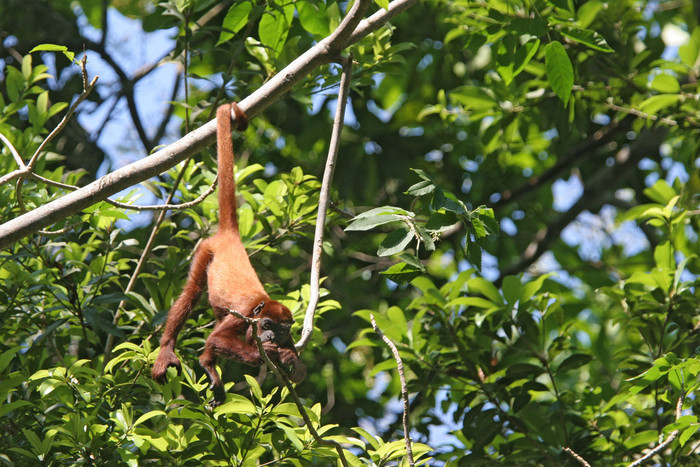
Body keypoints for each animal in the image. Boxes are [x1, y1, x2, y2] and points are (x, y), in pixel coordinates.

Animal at [152, 103, 306, 404]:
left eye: (282, 329)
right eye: (266, 324)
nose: (271, 337)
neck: (260, 306)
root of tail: (231, 236)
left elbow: (299, 374)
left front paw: (288, 358)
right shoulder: (243, 315)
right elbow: (216, 339)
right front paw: (269, 354)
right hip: (206, 249)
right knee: (192, 292)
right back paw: (174, 352)